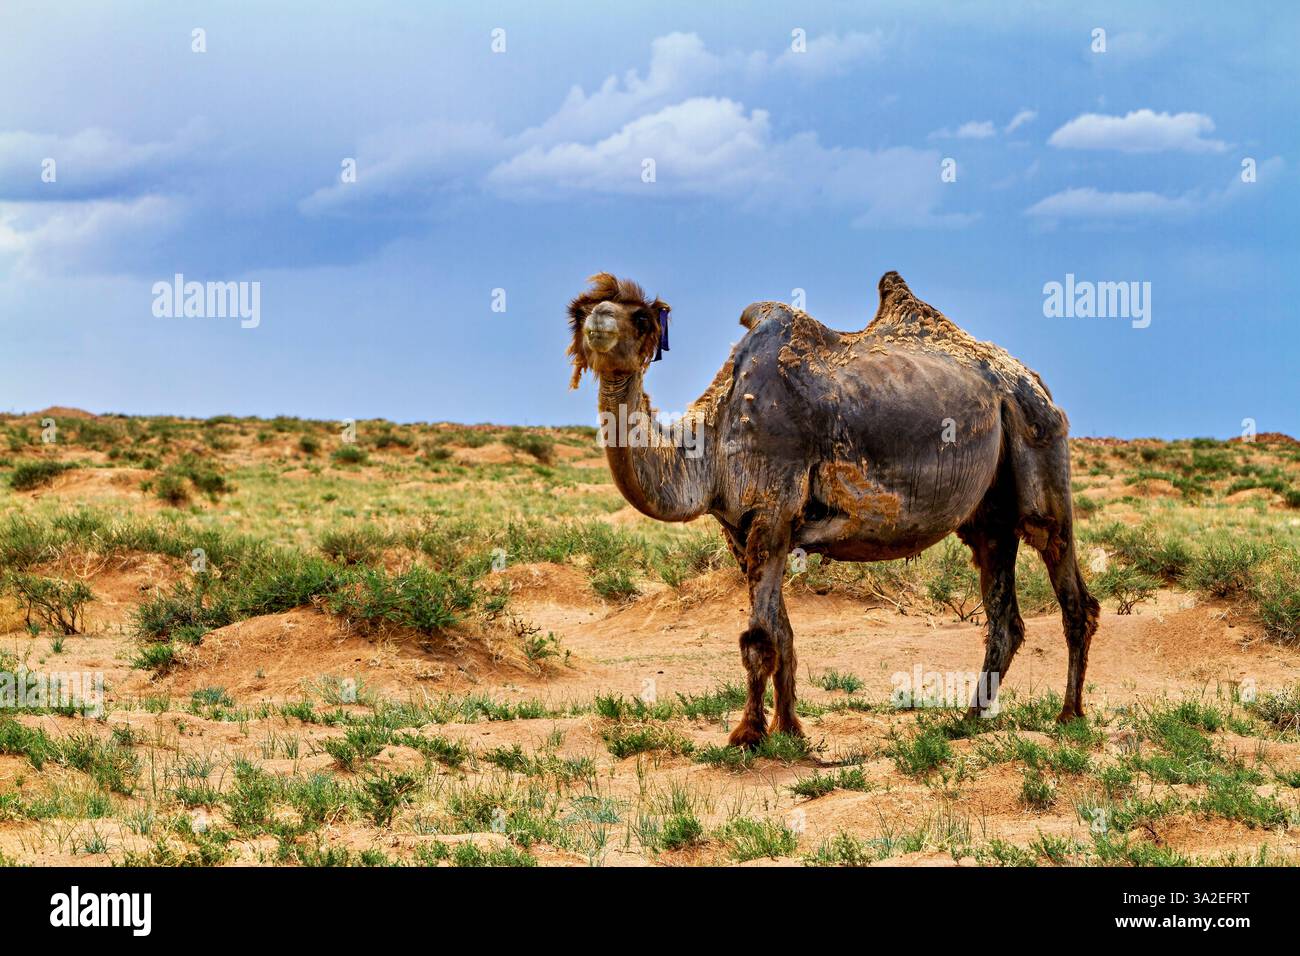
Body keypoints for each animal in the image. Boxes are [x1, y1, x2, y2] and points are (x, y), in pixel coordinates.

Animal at [566, 271, 1099, 748]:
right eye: (580, 311)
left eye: (640, 318)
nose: (600, 321)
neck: (711, 443)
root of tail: (1031, 379)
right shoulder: (742, 531)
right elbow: (781, 634)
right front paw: (789, 729)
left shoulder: (774, 510)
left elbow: (757, 639)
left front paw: (747, 736)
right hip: (989, 514)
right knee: (1003, 611)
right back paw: (968, 720)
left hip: (1038, 443)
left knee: (1069, 582)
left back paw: (1068, 715)